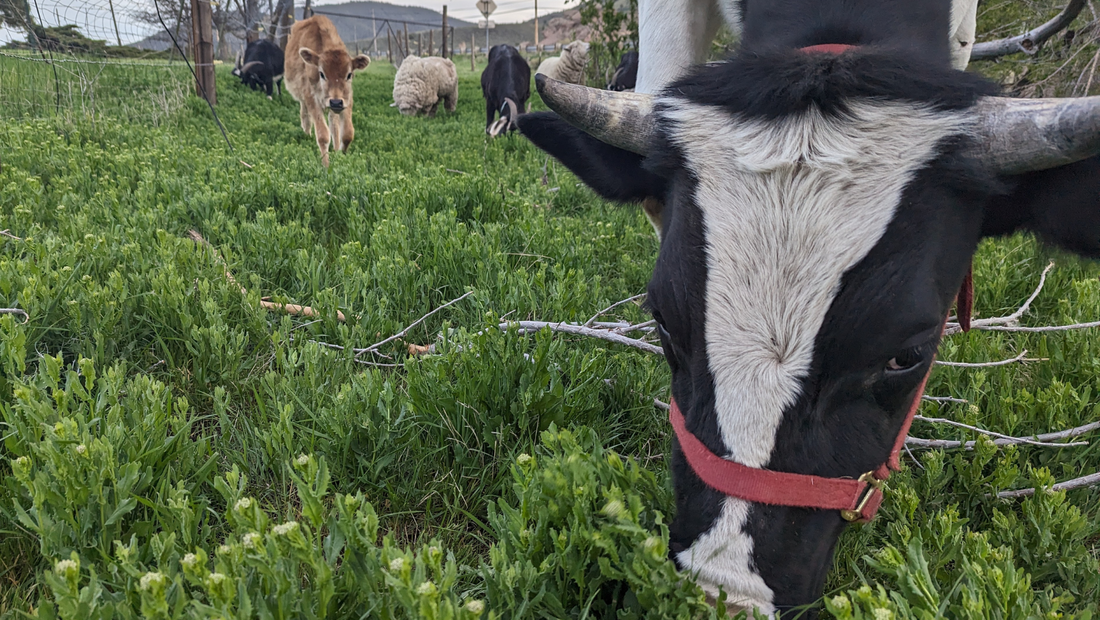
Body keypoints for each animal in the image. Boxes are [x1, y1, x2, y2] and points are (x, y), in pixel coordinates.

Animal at [285, 15, 370, 167]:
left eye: (349, 74)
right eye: (322, 73)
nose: (335, 102)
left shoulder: (347, 99)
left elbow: (347, 133)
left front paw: (341, 154)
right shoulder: (311, 99)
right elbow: (323, 135)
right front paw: (326, 165)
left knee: (334, 124)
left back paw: (335, 148)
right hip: (302, 99)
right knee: (305, 116)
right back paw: (307, 135)